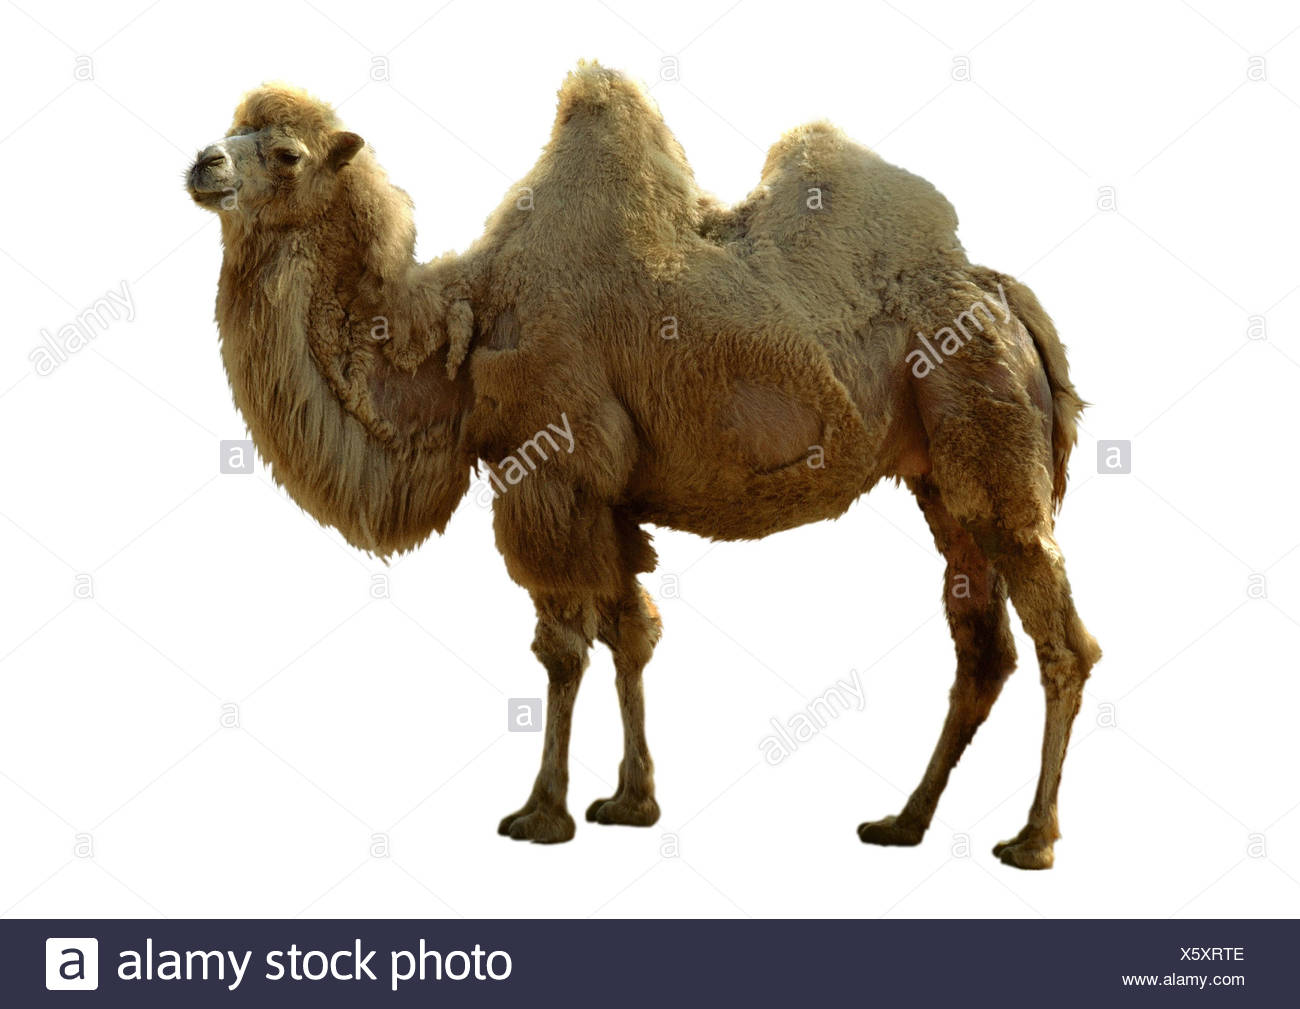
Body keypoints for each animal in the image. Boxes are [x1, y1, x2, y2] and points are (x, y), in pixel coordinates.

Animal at [185, 63, 1100, 870]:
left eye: (286, 153)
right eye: (232, 130)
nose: (201, 164)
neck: (459, 334)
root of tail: (1007, 300)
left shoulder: (549, 472)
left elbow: (562, 646)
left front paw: (541, 813)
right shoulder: (607, 499)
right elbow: (631, 630)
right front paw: (632, 801)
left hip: (992, 444)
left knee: (1063, 642)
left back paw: (1032, 840)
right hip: (940, 480)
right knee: (982, 648)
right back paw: (904, 821)